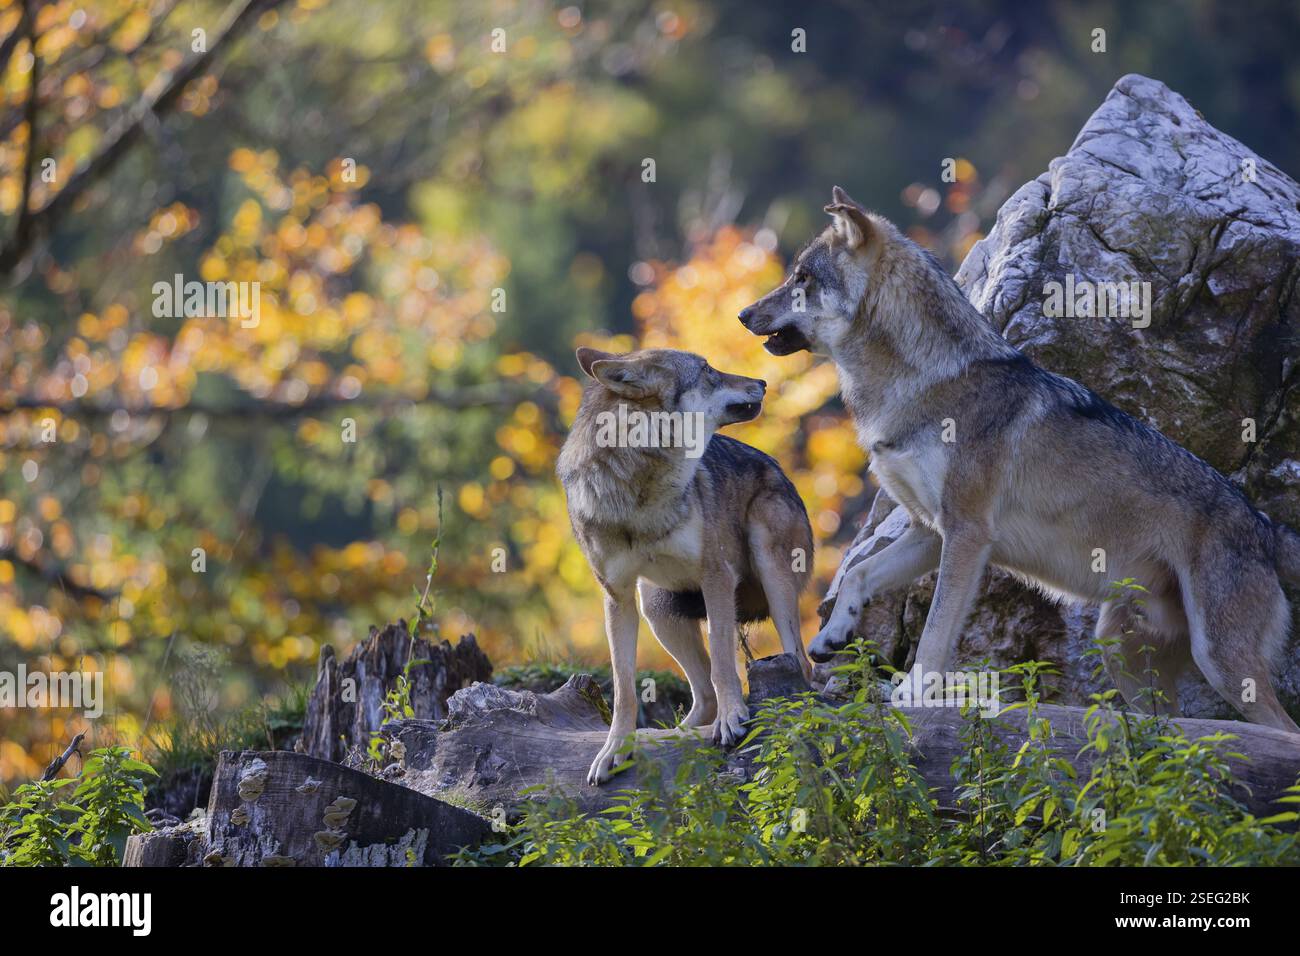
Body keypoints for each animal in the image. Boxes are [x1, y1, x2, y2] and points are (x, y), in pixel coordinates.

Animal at [558, 347, 814, 783]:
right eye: (708, 370)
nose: (762, 382)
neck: (640, 489)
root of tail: (779, 469)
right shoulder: (617, 597)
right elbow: (624, 688)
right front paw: (615, 748)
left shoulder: (717, 576)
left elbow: (724, 662)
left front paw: (732, 719)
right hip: (656, 607)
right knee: (703, 696)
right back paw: (671, 735)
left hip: (770, 569)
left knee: (802, 665)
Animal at [737, 185, 1300, 732]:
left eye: (802, 278)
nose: (743, 315)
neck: (923, 382)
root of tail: (1267, 526)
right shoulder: (929, 531)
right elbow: (858, 573)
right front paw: (834, 633)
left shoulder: (967, 534)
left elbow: (934, 632)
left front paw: (911, 696)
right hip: (1122, 652)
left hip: (1219, 662)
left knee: (1276, 730)